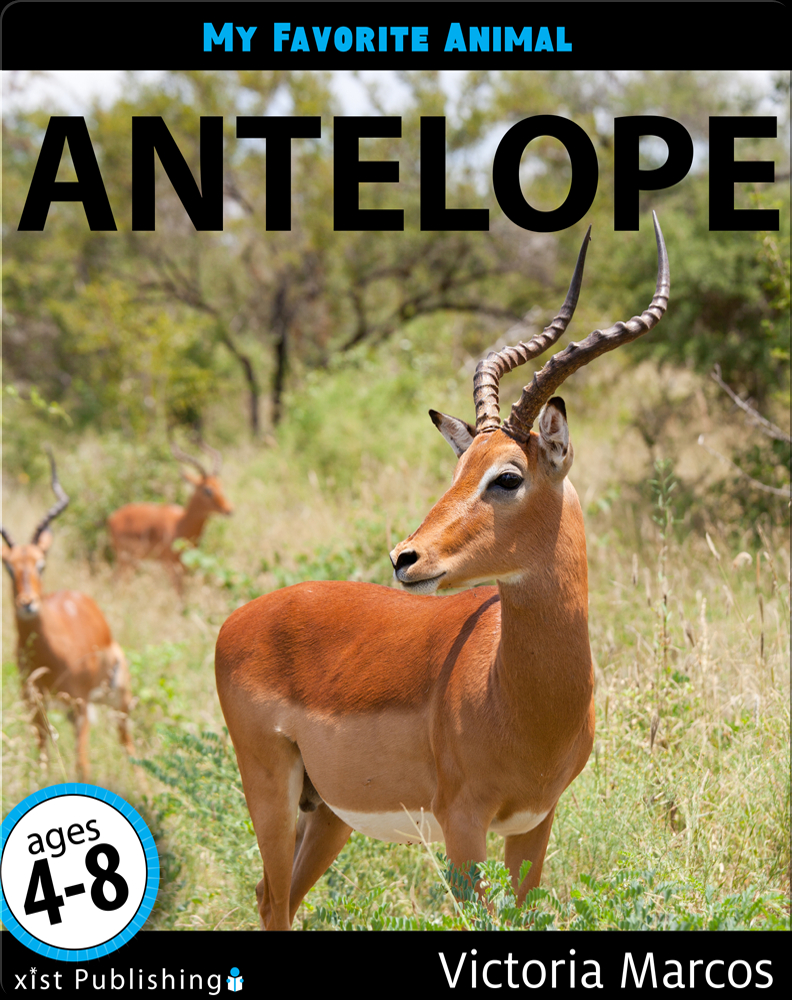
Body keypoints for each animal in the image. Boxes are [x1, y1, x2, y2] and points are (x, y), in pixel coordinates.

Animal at [2, 454, 134, 779]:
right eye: (8, 566)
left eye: (41, 564)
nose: (27, 604)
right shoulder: (34, 706)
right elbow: (42, 761)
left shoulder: (81, 704)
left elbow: (82, 767)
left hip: (118, 699)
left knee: (129, 747)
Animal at [107, 438, 233, 591]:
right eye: (207, 490)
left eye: (221, 485)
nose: (229, 509)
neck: (180, 524)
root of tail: (112, 517)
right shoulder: (170, 565)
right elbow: (179, 591)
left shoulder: (185, 564)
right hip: (125, 559)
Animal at [215, 214, 669, 930]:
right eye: (461, 468)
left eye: (506, 476)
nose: (407, 557)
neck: (517, 695)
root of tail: (240, 618)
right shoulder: (463, 827)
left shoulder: (534, 823)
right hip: (271, 792)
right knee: (274, 898)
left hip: (329, 815)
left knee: (274, 894)